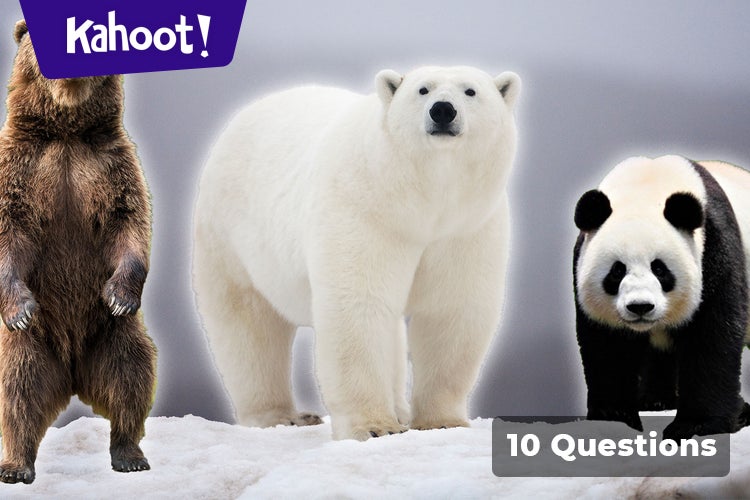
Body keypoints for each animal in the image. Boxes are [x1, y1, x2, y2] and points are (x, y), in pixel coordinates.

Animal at [0, 20, 156, 483]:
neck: (66, 132)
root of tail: (71, 375)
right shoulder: (21, 166)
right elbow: (9, 231)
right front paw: (20, 308)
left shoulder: (110, 164)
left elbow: (129, 222)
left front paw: (120, 295)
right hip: (34, 345)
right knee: (18, 388)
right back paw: (16, 465)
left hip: (110, 335)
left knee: (131, 375)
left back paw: (129, 454)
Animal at [193, 65, 521, 440]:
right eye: (422, 89)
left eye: (470, 91)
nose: (442, 111)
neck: (423, 202)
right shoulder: (365, 207)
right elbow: (360, 304)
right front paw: (374, 427)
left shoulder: (466, 227)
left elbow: (450, 309)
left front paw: (441, 421)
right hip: (230, 234)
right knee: (248, 322)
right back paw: (281, 415)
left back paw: (399, 409)